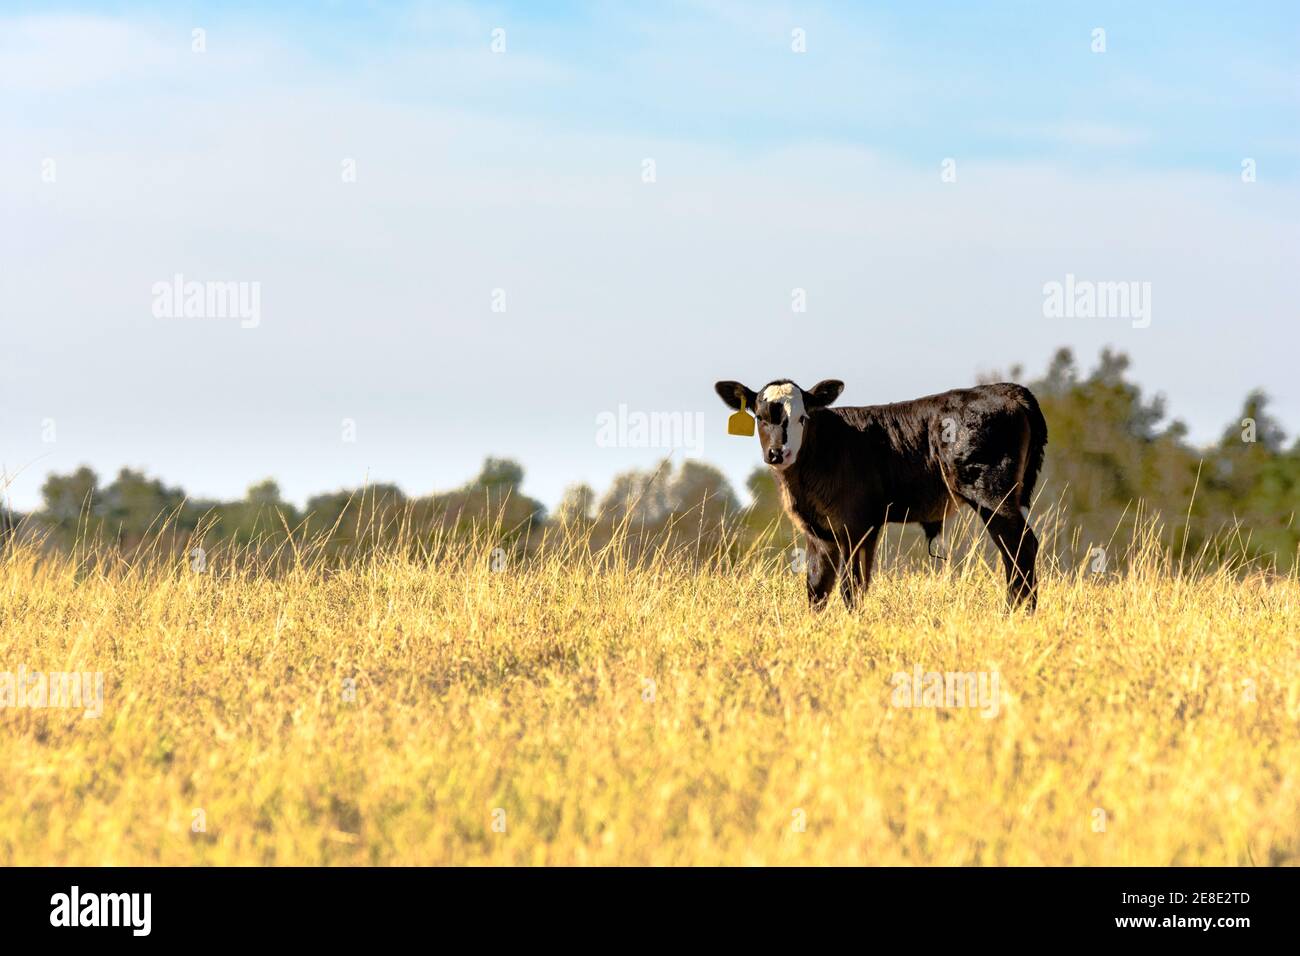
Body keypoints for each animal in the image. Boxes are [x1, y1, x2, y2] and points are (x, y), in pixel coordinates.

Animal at [714, 378, 1047, 611]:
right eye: (760, 417)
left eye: (802, 418)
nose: (777, 452)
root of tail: (1006, 389)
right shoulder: (821, 531)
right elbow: (817, 588)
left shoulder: (856, 526)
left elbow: (851, 587)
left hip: (992, 495)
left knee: (1020, 548)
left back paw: (1015, 615)